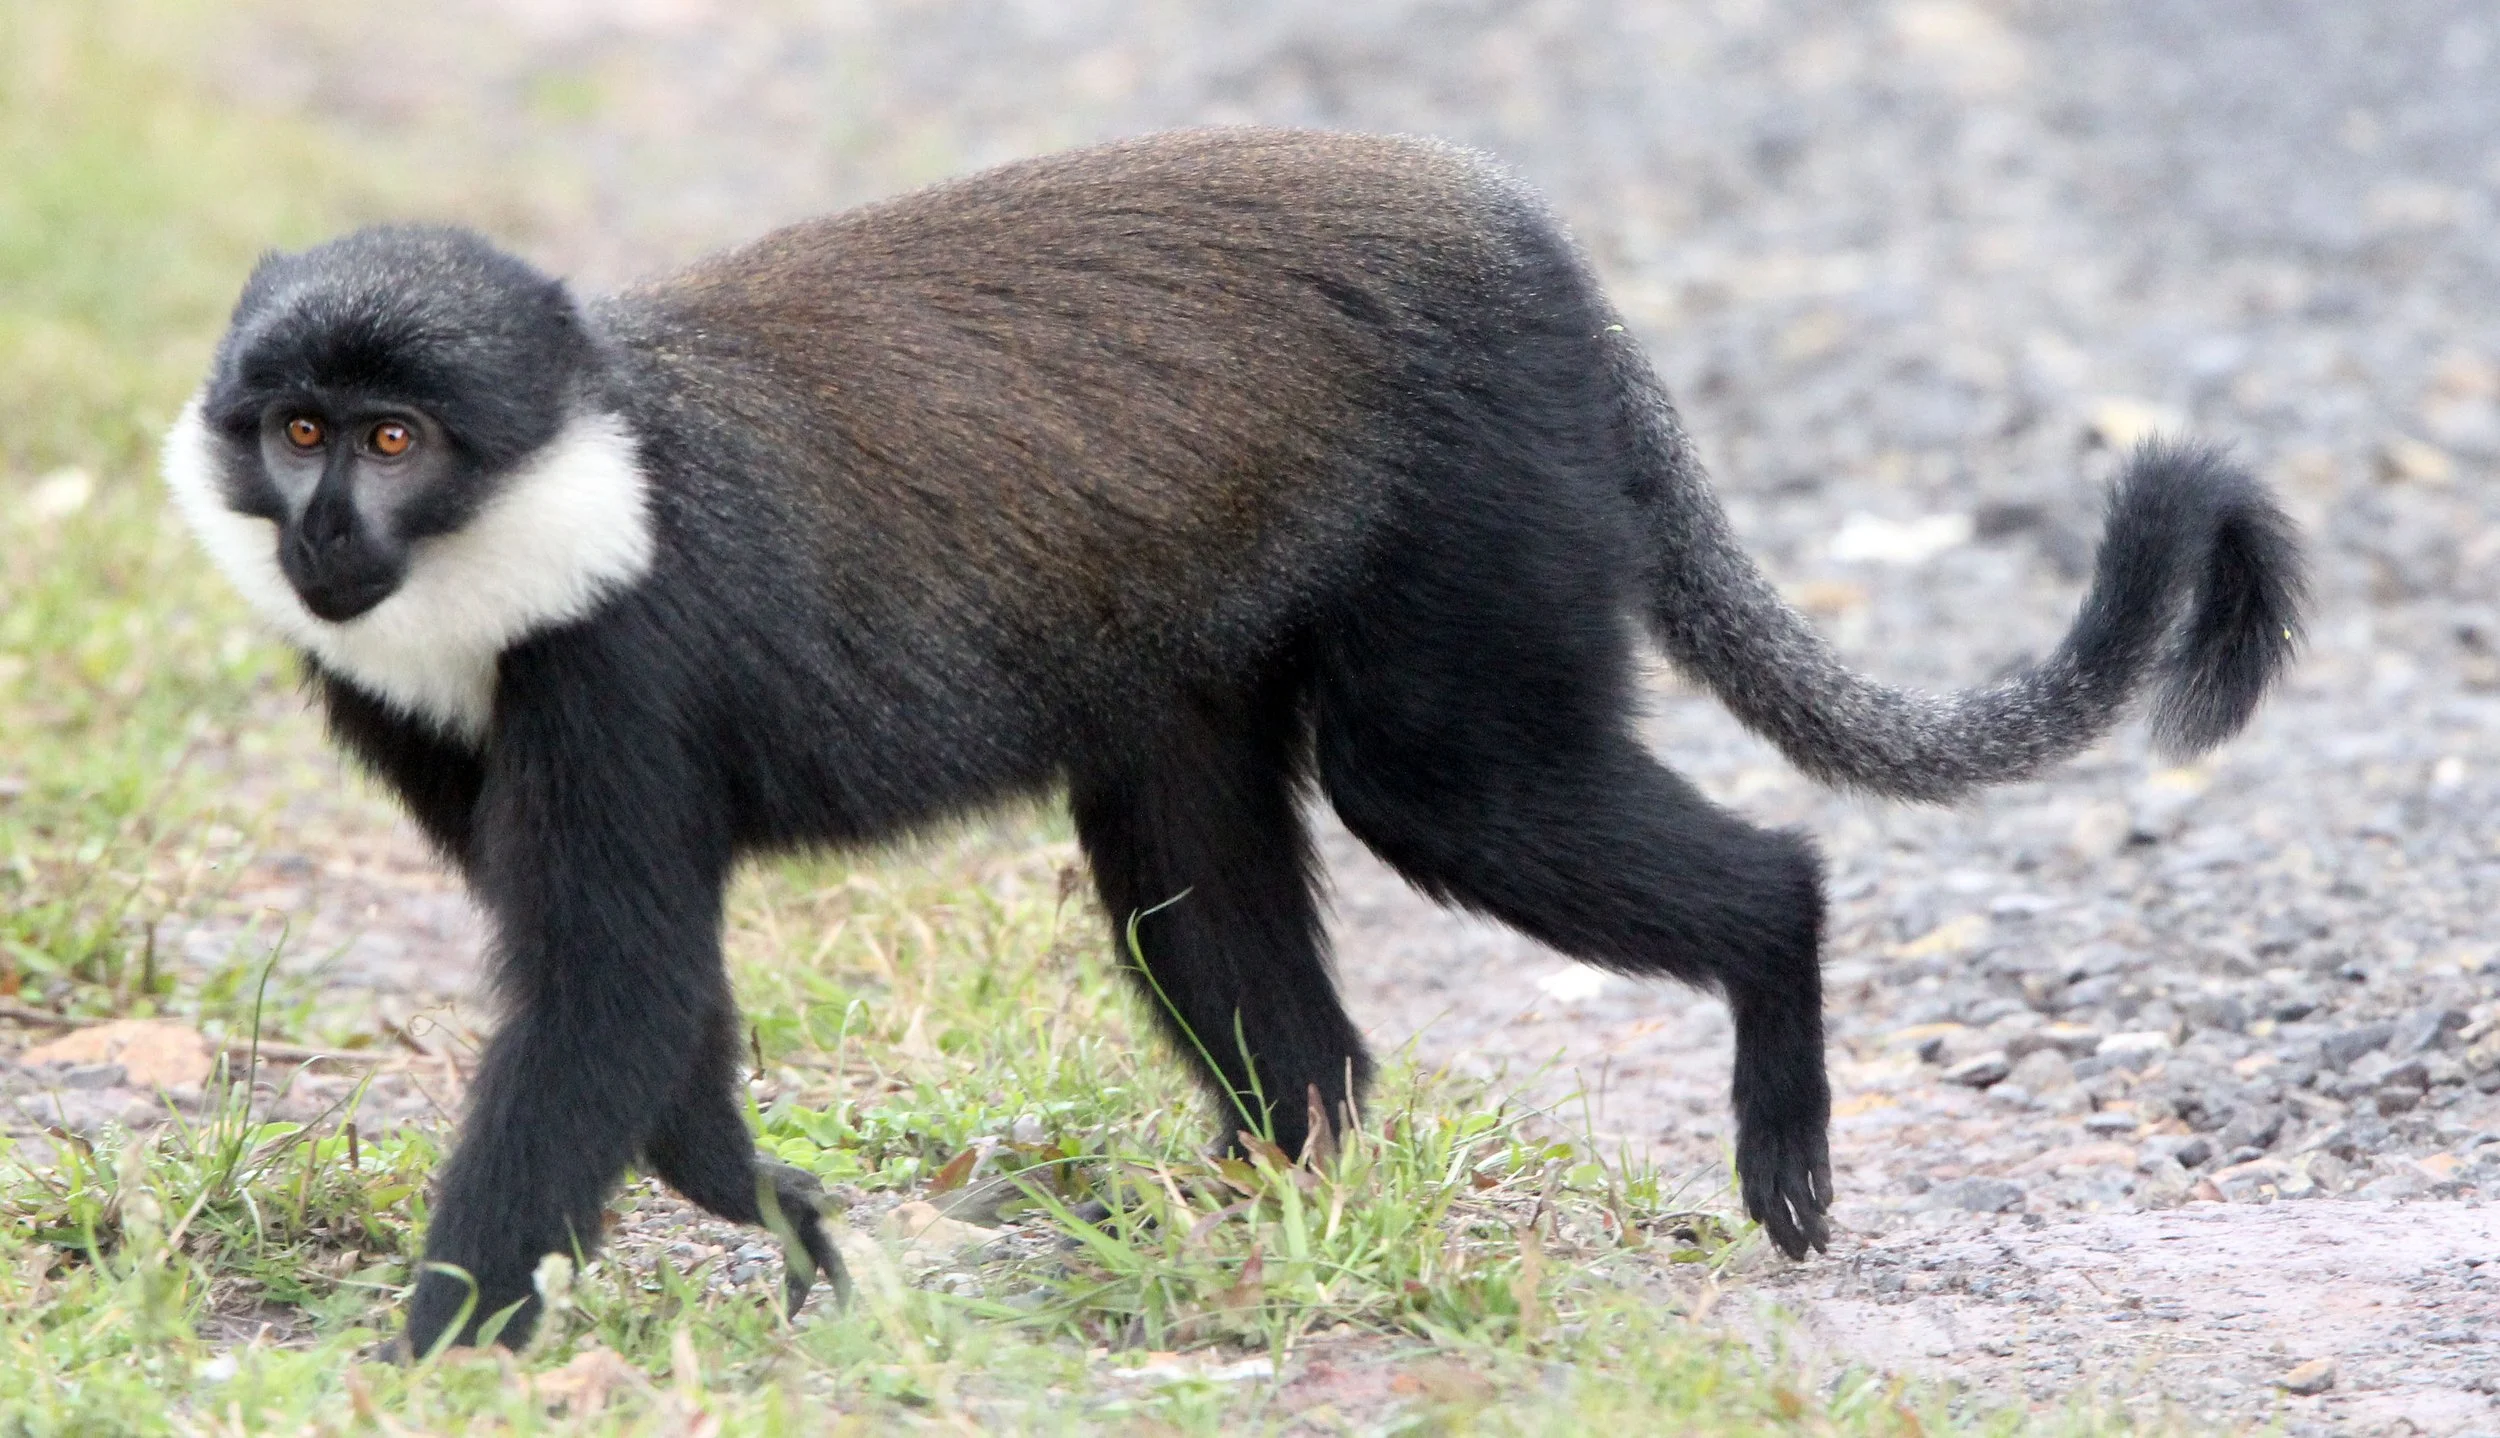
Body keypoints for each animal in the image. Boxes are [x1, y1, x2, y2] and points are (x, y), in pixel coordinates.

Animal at [161, 127, 2305, 1353]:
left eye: (394, 438)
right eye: (295, 429)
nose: (327, 532)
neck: (583, 480)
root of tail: (1526, 253)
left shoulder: (623, 669)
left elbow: (606, 992)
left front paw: (430, 1354)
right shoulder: (427, 708)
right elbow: (646, 1016)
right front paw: (787, 1221)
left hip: (1482, 508)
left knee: (1486, 797)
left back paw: (1769, 1007)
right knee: (1186, 853)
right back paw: (1291, 1180)